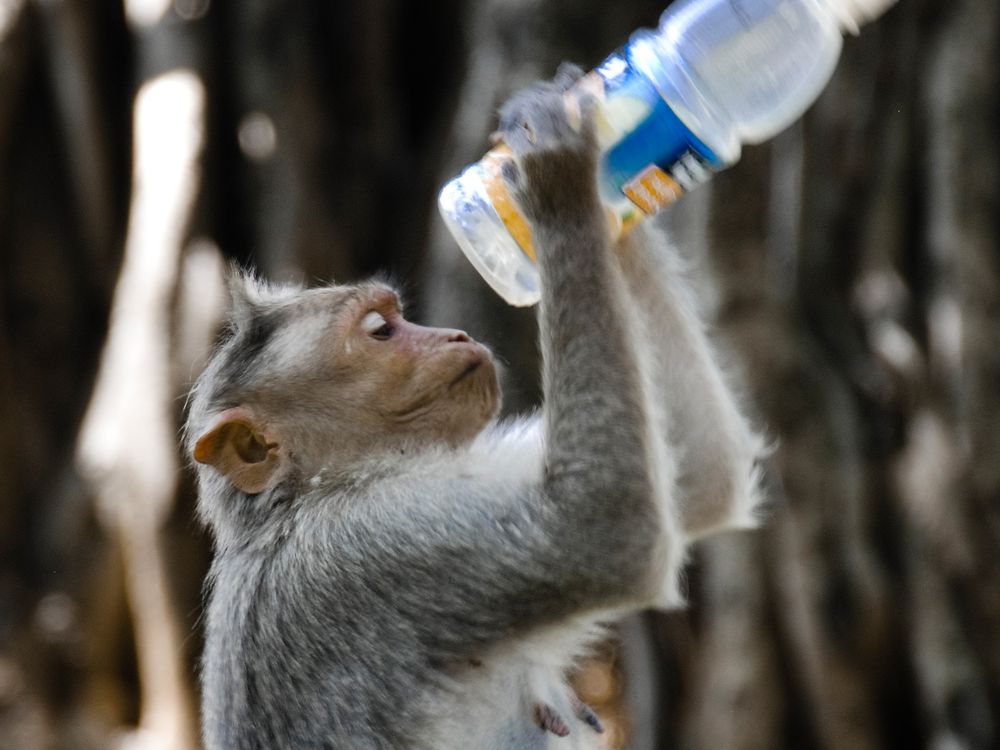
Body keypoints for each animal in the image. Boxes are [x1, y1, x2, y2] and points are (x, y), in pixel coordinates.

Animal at [186, 67, 765, 750]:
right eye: (382, 329)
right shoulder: (373, 550)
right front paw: (556, 176)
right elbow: (606, 531)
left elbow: (699, 478)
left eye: (402, 316)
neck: (308, 496)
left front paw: (594, 128)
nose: (454, 335)